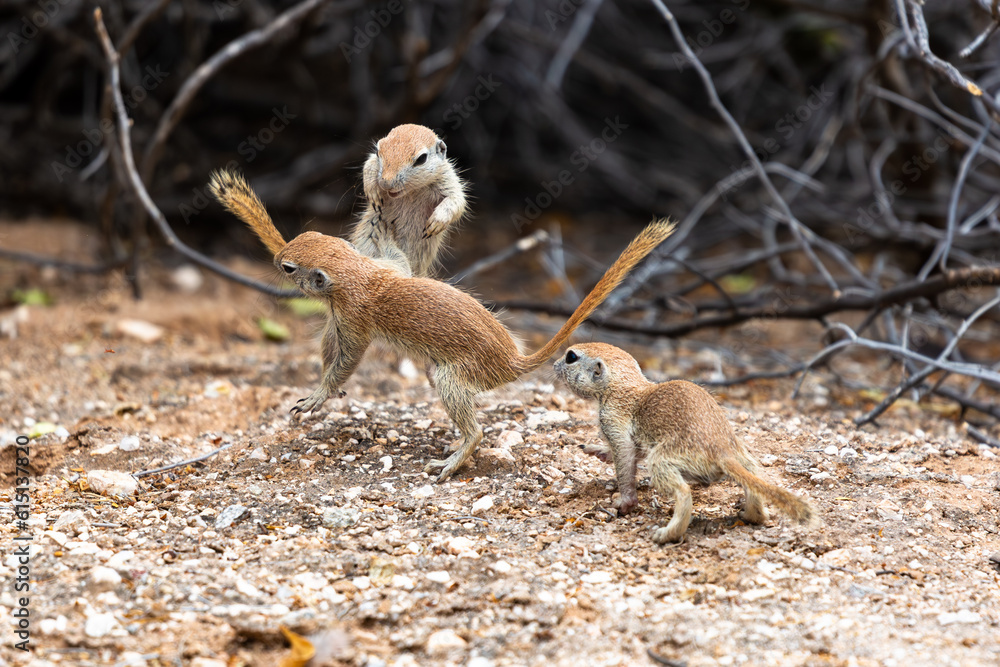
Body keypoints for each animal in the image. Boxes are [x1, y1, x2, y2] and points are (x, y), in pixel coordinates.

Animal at [208, 168, 674, 481]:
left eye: (289, 268)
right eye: (308, 237)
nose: (276, 257)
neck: (357, 273)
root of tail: (513, 362)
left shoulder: (354, 323)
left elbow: (345, 363)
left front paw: (317, 396)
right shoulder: (387, 267)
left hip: (450, 378)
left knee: (478, 431)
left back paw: (451, 460)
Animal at [351, 124, 468, 277]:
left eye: (422, 158)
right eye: (377, 151)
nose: (386, 183)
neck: (411, 192)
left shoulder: (448, 179)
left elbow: (456, 200)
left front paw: (436, 222)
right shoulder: (372, 161)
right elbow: (369, 165)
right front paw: (373, 193)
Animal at [554, 342, 816, 543]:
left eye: (571, 356)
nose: (554, 364)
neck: (623, 386)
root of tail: (724, 452)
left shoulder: (612, 419)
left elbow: (624, 454)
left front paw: (624, 502)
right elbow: (631, 451)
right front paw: (598, 450)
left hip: (664, 458)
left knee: (682, 492)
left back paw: (666, 533)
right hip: (744, 456)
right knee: (753, 477)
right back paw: (752, 515)